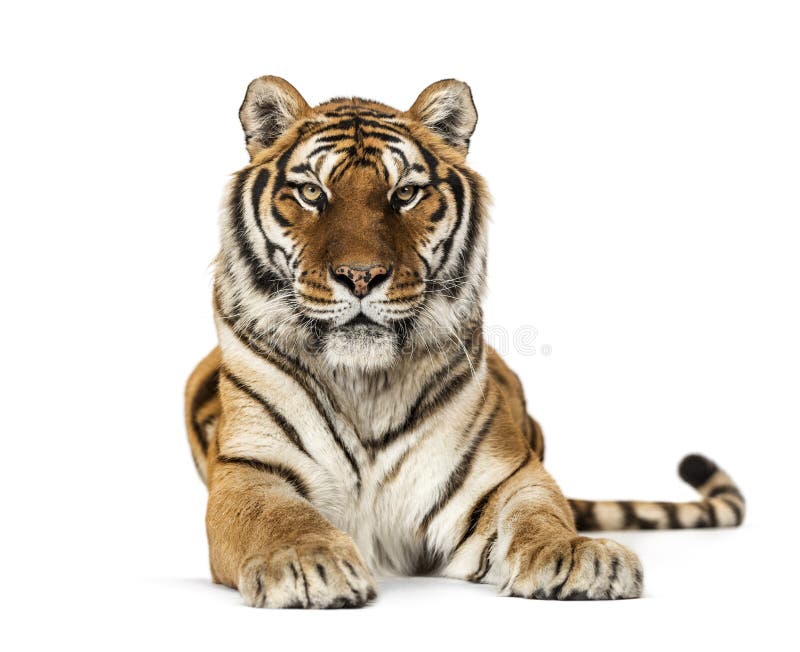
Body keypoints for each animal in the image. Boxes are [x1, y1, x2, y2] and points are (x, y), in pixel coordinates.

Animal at [184, 76, 745, 608]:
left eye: (404, 194)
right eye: (312, 193)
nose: (361, 275)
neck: (365, 384)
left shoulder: (503, 476)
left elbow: (541, 514)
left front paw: (578, 556)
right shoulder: (250, 470)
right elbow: (274, 516)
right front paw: (305, 562)